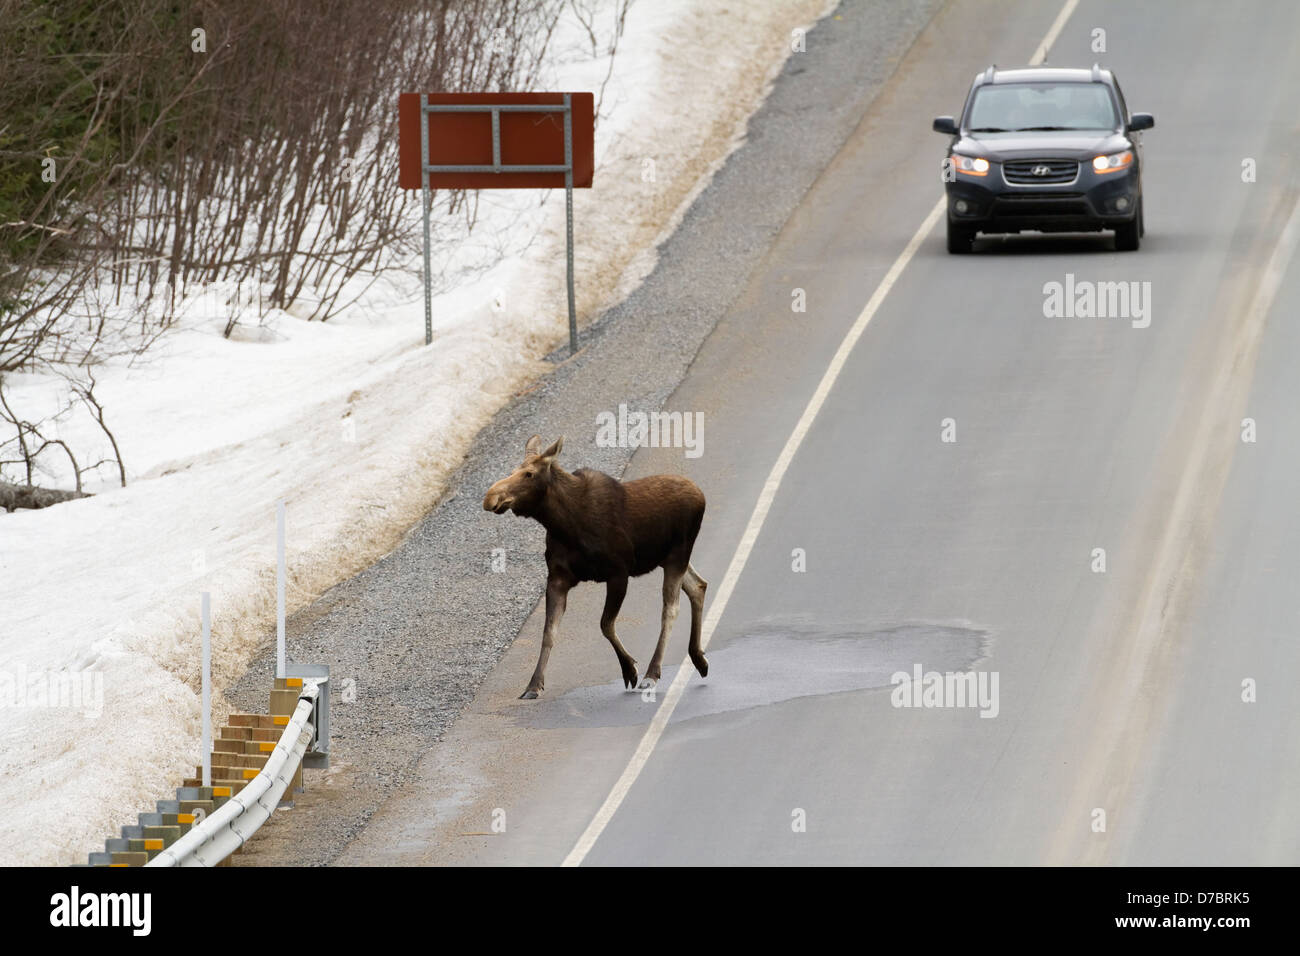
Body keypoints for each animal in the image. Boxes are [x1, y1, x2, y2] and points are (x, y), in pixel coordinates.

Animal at [483, 434, 709, 699]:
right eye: (512, 470)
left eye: (529, 473)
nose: (490, 497)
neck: (565, 525)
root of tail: (701, 496)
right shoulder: (558, 577)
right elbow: (549, 632)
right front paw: (533, 685)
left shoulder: (619, 573)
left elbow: (605, 624)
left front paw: (630, 669)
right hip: (666, 558)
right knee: (698, 586)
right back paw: (699, 659)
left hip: (677, 554)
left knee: (670, 609)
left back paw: (652, 673)